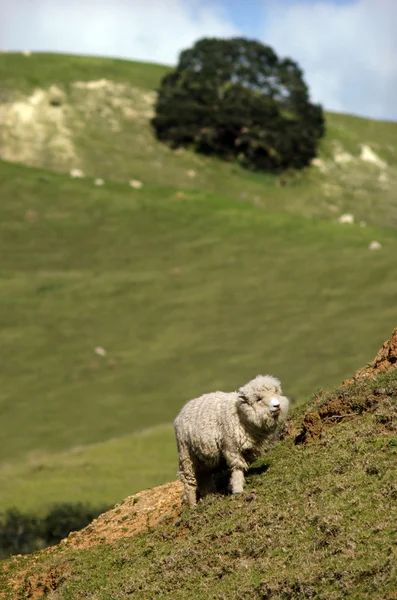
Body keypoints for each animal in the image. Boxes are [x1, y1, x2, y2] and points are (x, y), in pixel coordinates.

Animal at [173, 376, 288, 506]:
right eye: (259, 399)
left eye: (275, 393)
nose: (277, 405)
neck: (241, 415)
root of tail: (183, 409)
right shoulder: (231, 446)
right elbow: (238, 467)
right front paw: (237, 489)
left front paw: (231, 485)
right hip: (186, 454)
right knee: (189, 481)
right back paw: (192, 505)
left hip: (202, 456)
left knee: (204, 475)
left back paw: (210, 495)